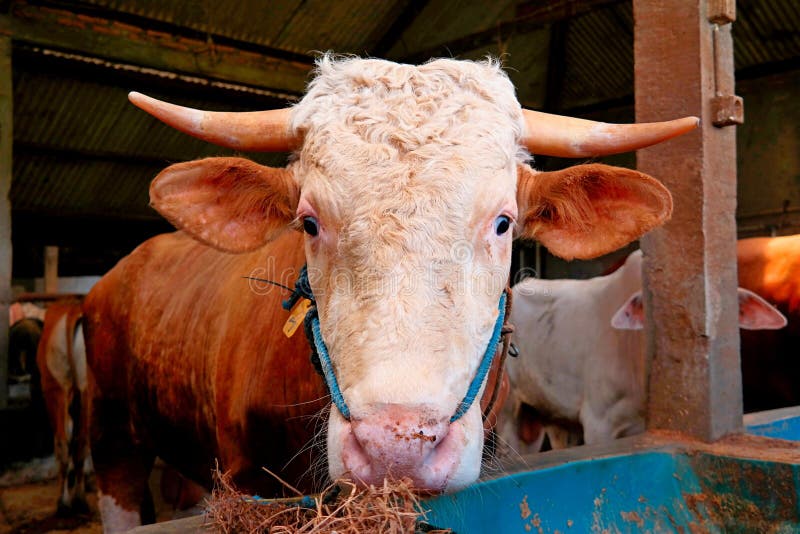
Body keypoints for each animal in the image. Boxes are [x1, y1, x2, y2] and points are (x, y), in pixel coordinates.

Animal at [37, 300, 92, 516]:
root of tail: (71, 313)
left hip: (57, 389)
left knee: (62, 442)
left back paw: (63, 502)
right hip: (86, 391)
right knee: (82, 442)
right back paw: (80, 499)